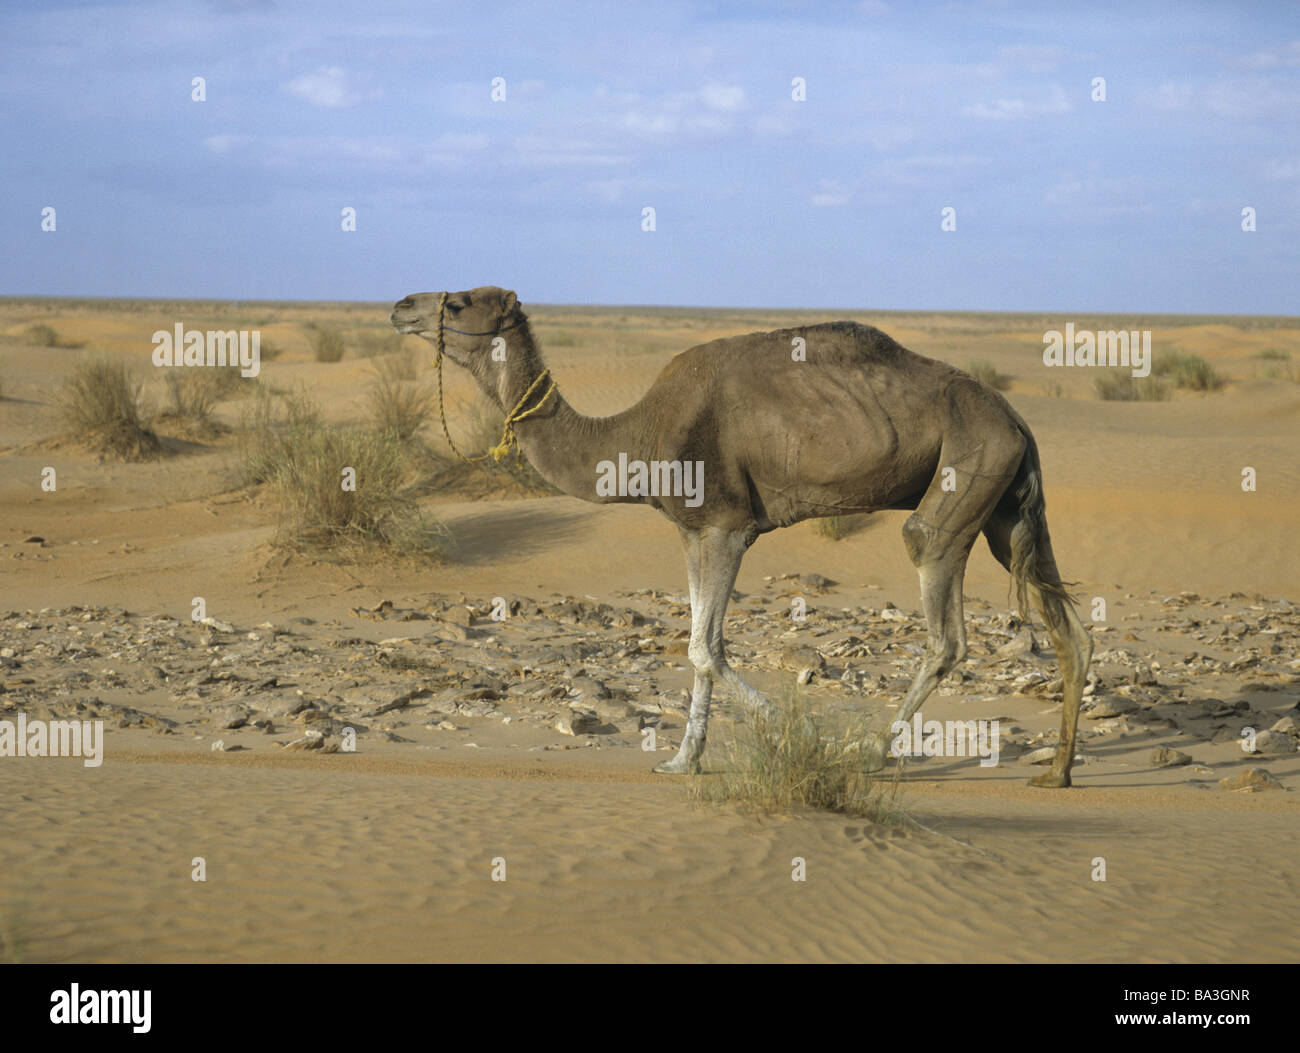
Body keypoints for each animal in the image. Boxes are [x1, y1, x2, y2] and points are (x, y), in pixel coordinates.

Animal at [391, 286, 1093, 787]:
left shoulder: (728, 526)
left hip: (964, 475)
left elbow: (706, 648)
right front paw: (682, 762)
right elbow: (702, 643)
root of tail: (1016, 418)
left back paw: (869, 751)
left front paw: (788, 731)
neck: (639, 434)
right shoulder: (693, 531)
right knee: (1068, 626)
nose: (400, 306)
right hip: (1005, 507)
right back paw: (1056, 772)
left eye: (458, 303)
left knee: (943, 617)